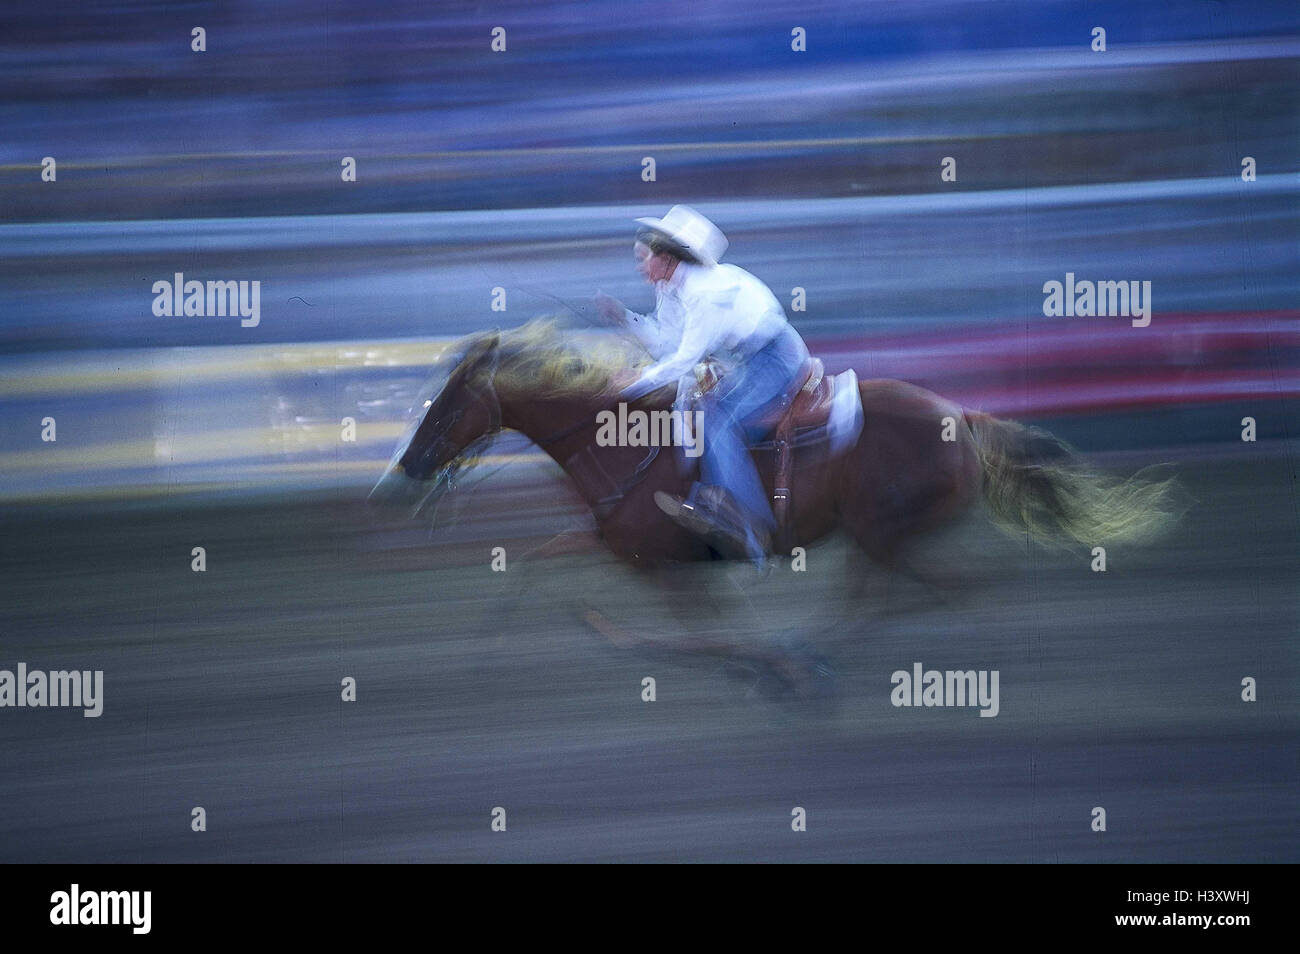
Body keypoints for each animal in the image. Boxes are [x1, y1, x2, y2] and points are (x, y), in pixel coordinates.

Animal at [369, 318, 1179, 692]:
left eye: (448, 402)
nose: (408, 464)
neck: (624, 446)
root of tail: (965, 417)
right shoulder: (622, 550)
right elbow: (538, 562)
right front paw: (485, 650)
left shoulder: (673, 570)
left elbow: (707, 636)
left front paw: (763, 667)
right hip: (878, 536)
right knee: (907, 594)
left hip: (881, 531)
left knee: (926, 592)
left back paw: (808, 663)